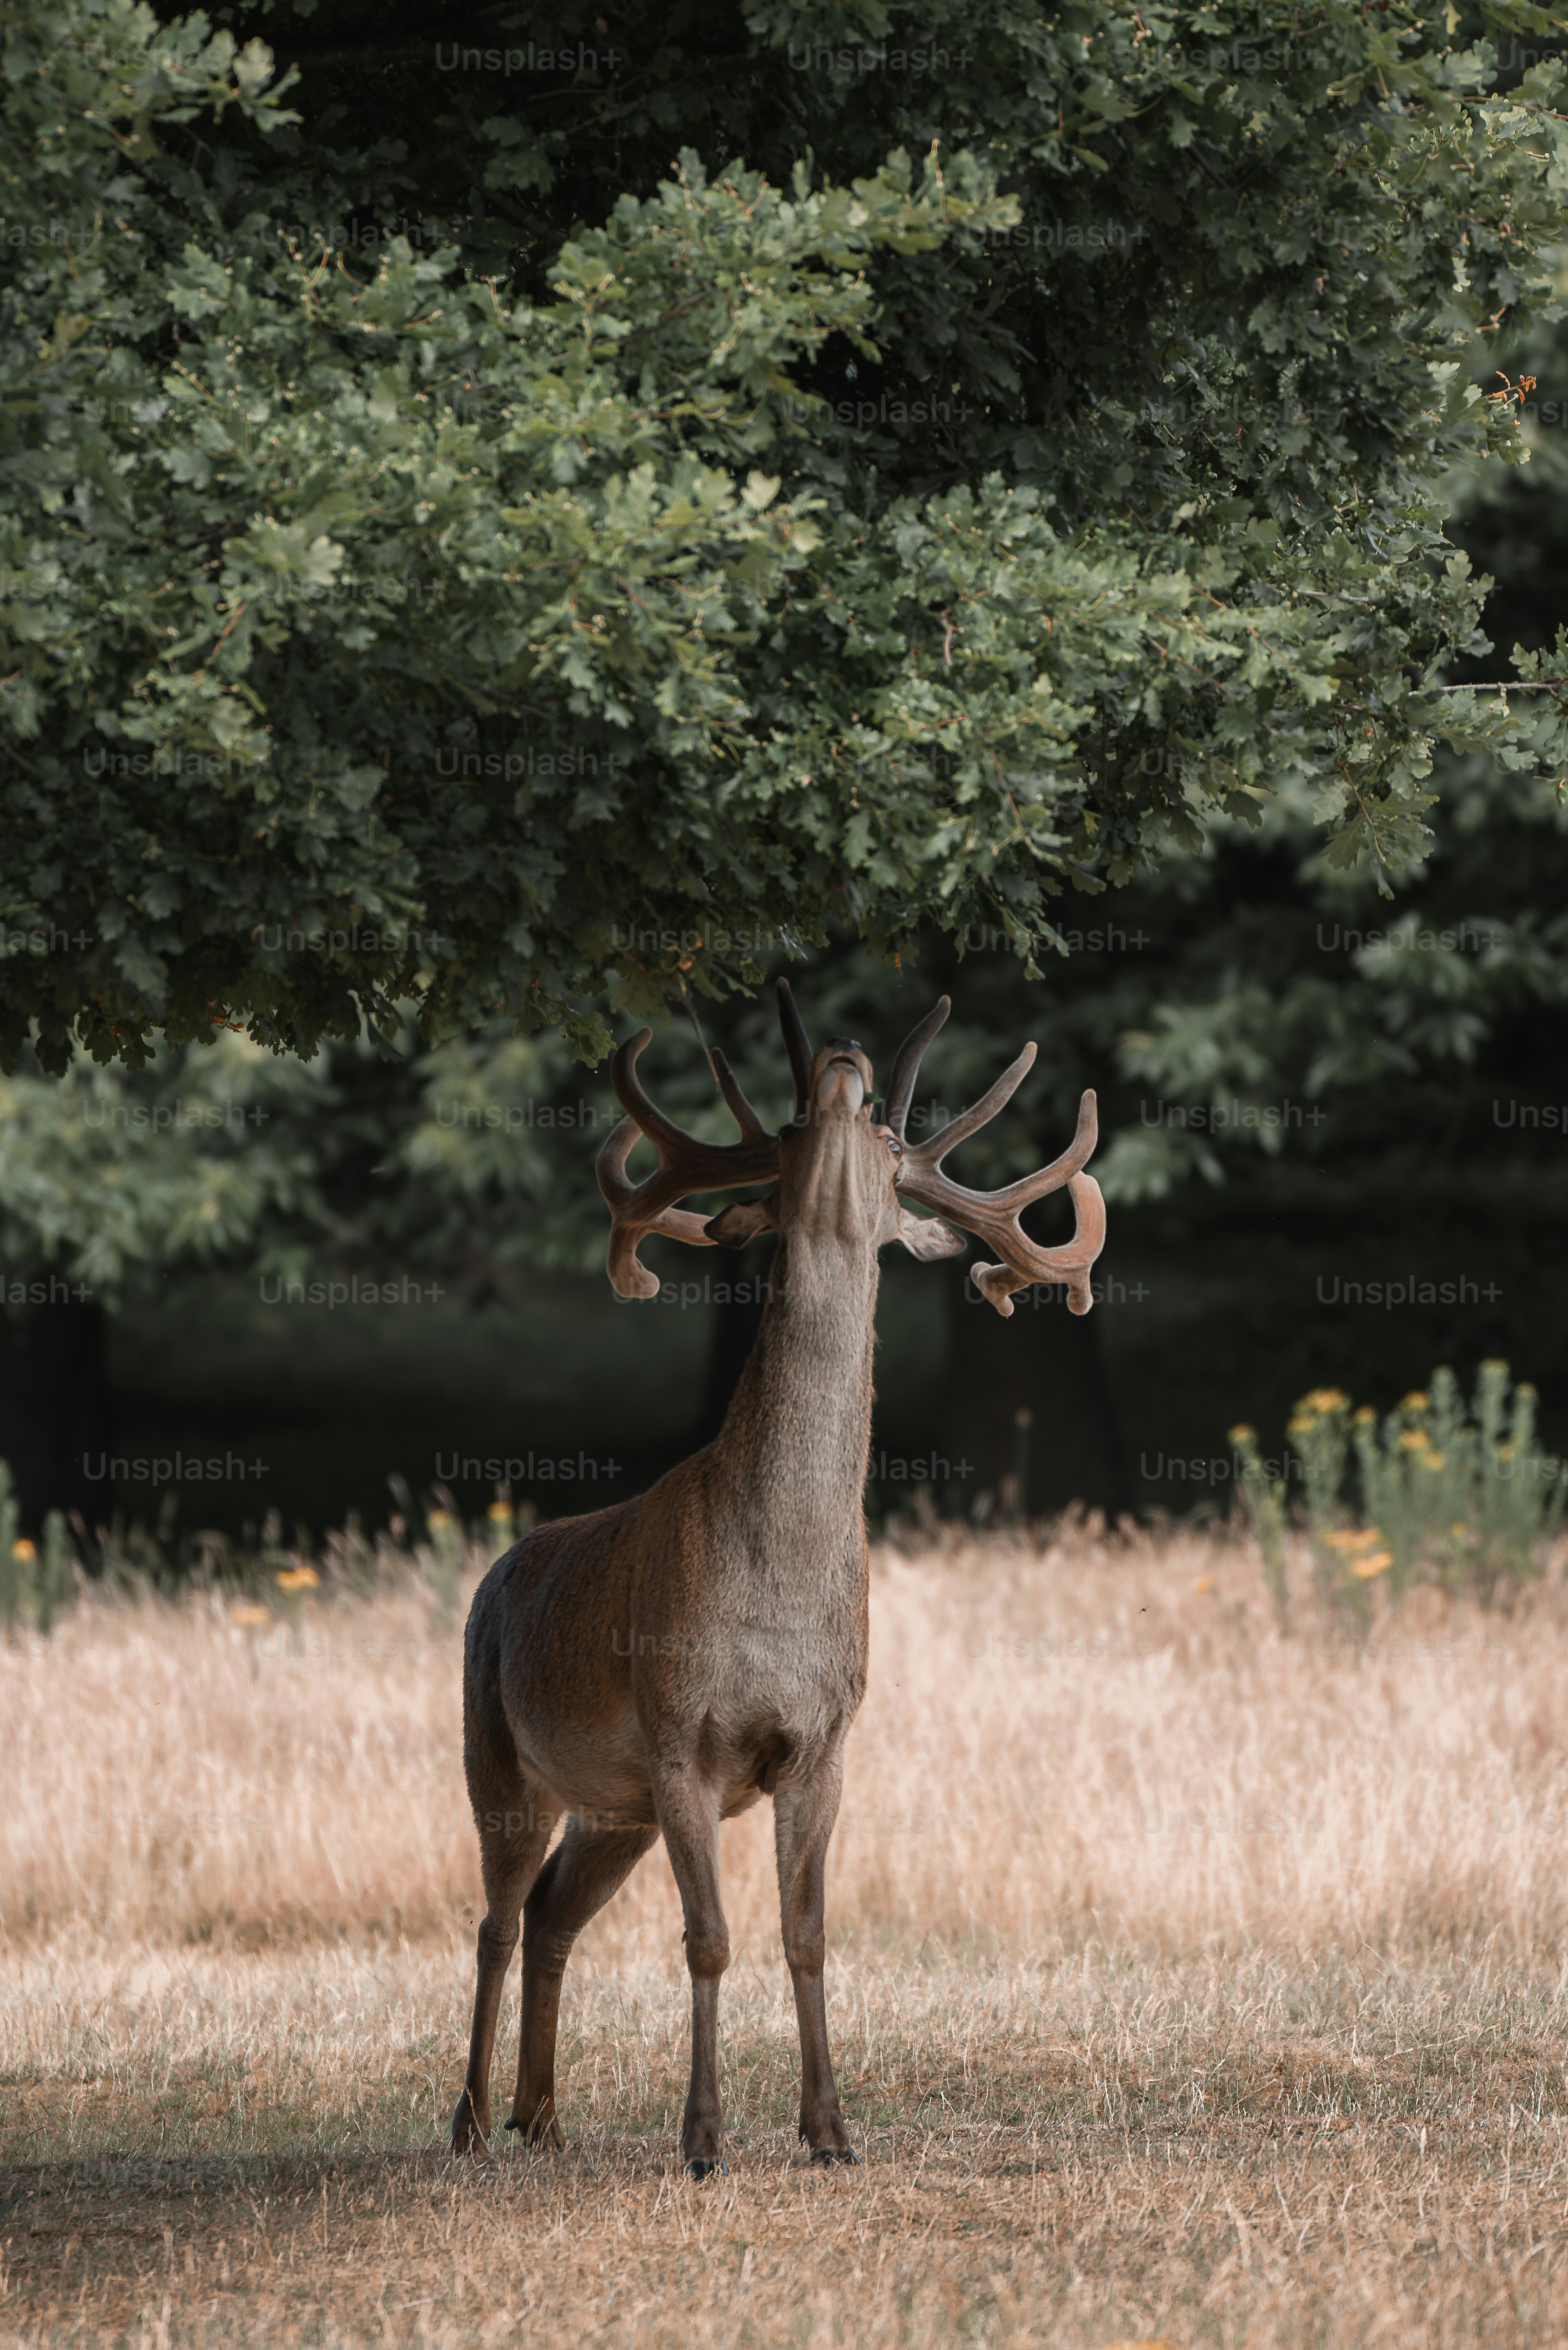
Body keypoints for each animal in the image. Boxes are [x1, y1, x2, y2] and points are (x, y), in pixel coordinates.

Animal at [450, 981, 1106, 2176]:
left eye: (888, 1143)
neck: (779, 1582)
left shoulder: (827, 1740)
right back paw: (472, 2117)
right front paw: (703, 2137)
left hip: (610, 1804)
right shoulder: (679, 1737)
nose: (843, 1056)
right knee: (498, 1918)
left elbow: (806, 1935)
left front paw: (831, 2129)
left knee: (557, 1914)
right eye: (798, 1126)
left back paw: (543, 2114)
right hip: (496, 1747)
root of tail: (497, 1573)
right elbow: (709, 1939)